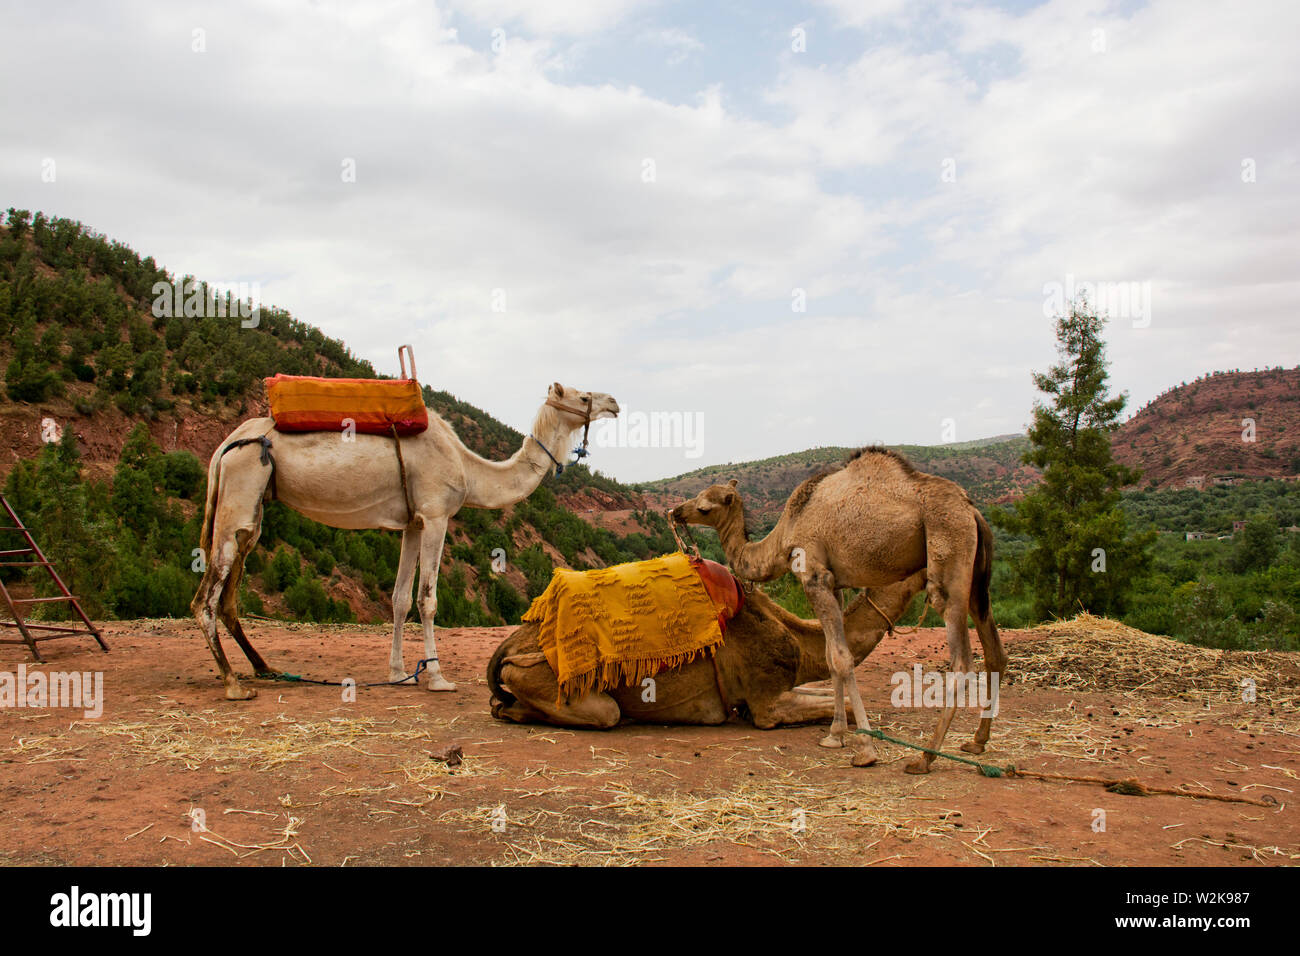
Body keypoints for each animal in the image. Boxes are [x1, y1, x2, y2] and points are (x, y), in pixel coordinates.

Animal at [191, 383, 619, 700]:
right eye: (583, 396)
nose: (613, 402)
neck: (469, 469)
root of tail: (226, 445)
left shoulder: (412, 523)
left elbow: (399, 598)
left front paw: (400, 673)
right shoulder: (435, 515)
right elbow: (427, 599)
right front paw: (438, 678)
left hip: (253, 510)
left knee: (229, 595)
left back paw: (265, 668)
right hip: (240, 490)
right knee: (205, 598)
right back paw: (233, 683)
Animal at [488, 570, 927, 729]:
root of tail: (509, 644)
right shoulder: (767, 702)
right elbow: (846, 706)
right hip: (544, 671)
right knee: (605, 712)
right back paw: (513, 711)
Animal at [669, 447, 1005, 773]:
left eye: (704, 507)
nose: (675, 511)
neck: (786, 533)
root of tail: (972, 512)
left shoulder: (814, 575)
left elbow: (843, 659)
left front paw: (865, 750)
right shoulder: (836, 585)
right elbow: (832, 657)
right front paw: (835, 735)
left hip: (948, 554)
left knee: (962, 661)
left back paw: (925, 758)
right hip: (976, 579)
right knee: (995, 653)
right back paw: (977, 742)